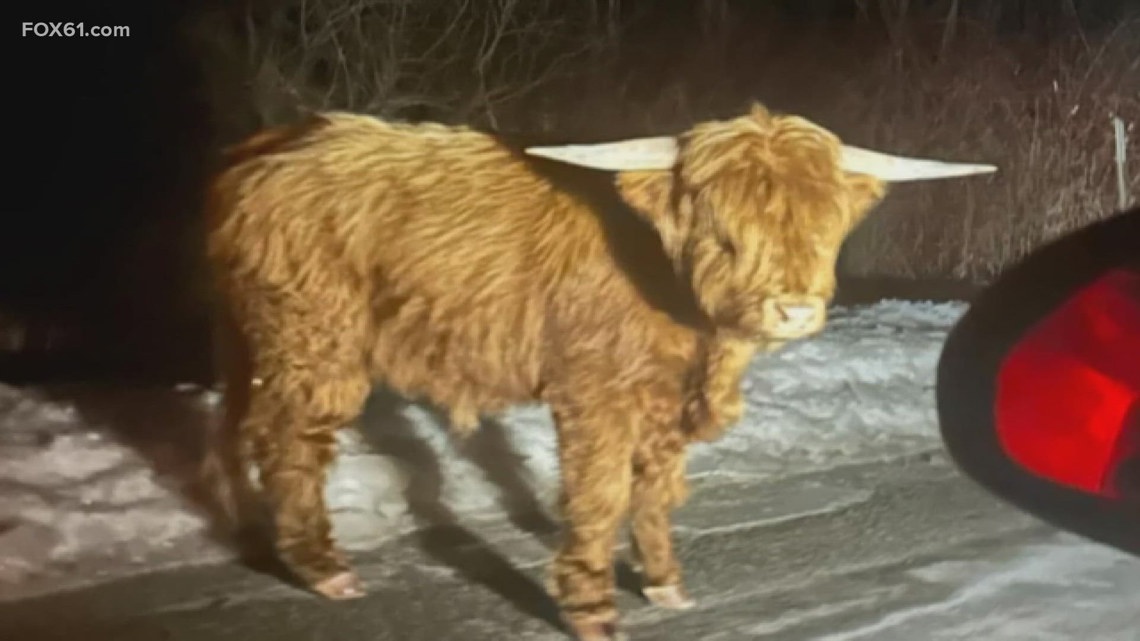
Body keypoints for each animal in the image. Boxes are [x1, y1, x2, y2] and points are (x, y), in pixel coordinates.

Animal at [198, 103, 994, 640]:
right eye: (723, 230)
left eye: (825, 225)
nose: (793, 308)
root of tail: (265, 147)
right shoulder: (596, 390)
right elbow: (601, 491)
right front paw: (590, 607)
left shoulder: (664, 396)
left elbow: (658, 487)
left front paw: (664, 582)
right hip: (314, 338)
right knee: (291, 443)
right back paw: (322, 567)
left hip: (254, 340)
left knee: (234, 427)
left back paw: (251, 534)